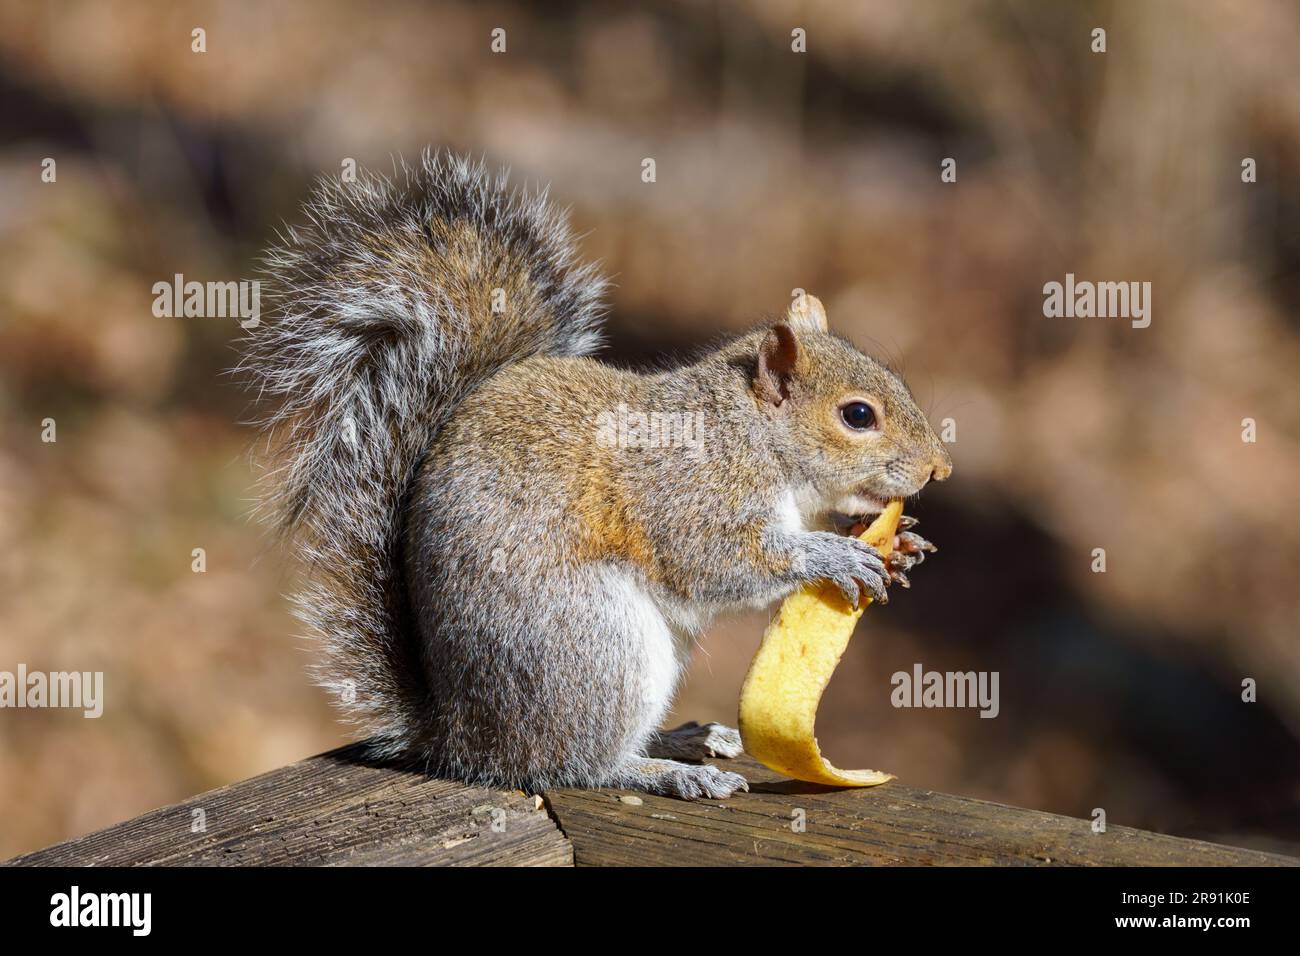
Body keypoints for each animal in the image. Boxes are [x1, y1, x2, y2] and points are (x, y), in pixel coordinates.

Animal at [240, 152, 951, 800]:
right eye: (857, 415)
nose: (938, 467)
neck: (752, 437)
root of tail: (463, 739)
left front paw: (901, 542)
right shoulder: (686, 490)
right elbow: (717, 561)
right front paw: (832, 554)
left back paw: (685, 739)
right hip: (596, 646)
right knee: (575, 762)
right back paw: (662, 772)